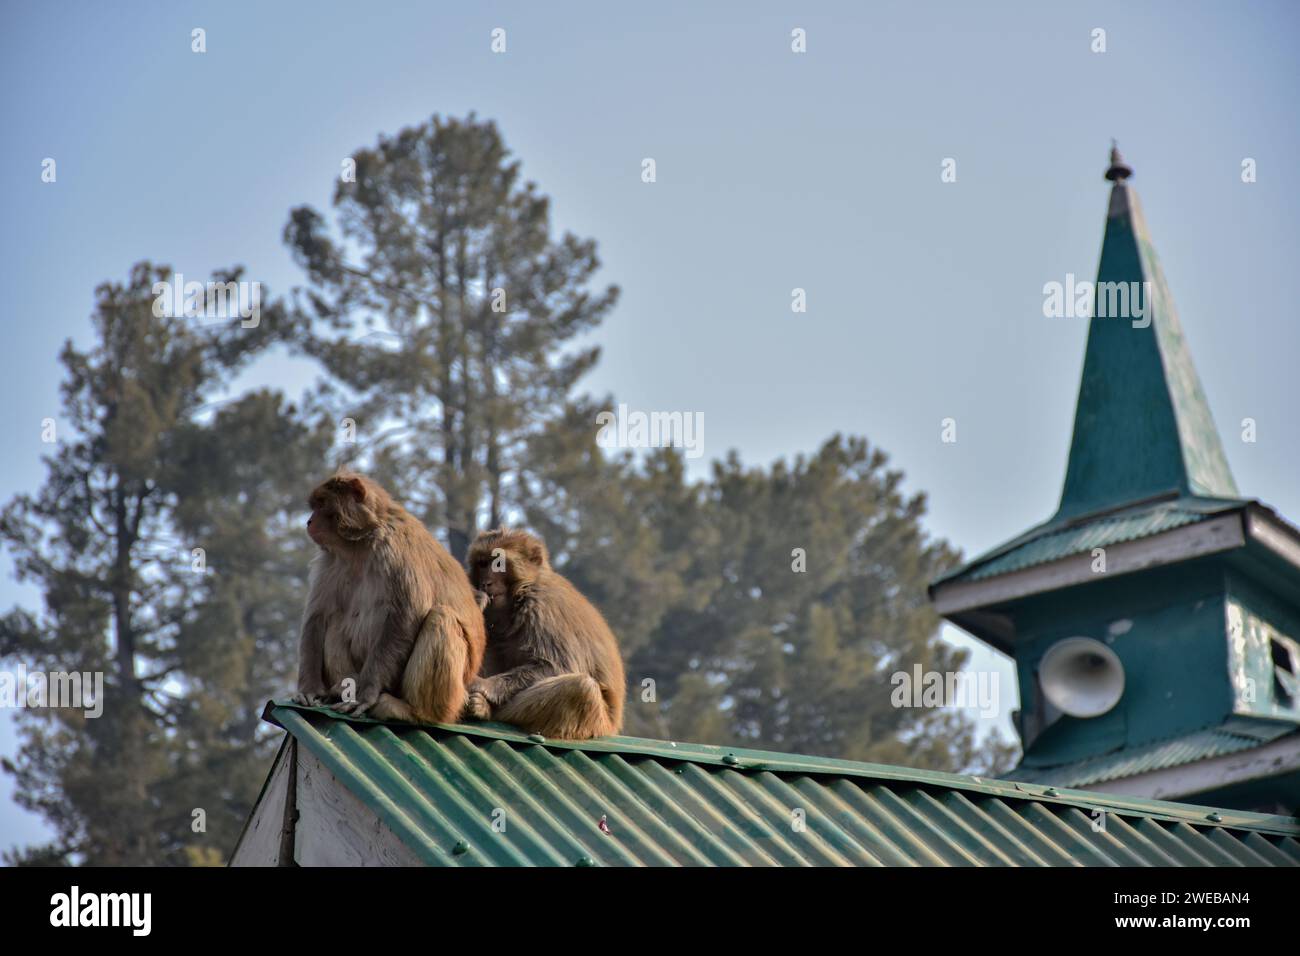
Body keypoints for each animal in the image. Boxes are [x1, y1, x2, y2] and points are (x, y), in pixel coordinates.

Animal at [292, 472, 486, 725]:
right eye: (315, 505)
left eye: (322, 504)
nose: (309, 521)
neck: (359, 544)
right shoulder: (330, 561)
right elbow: (318, 616)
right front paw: (310, 689)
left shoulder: (396, 550)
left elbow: (405, 617)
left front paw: (366, 695)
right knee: (335, 621)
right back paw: (342, 687)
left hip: (451, 693)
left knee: (441, 618)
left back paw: (413, 711)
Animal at [464, 528, 625, 739]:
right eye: (482, 564)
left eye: (498, 564)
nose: (486, 583)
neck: (521, 592)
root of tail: (611, 727)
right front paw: (478, 599)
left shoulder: (542, 606)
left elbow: (557, 666)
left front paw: (484, 685)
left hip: (595, 722)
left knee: (582, 688)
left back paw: (487, 710)